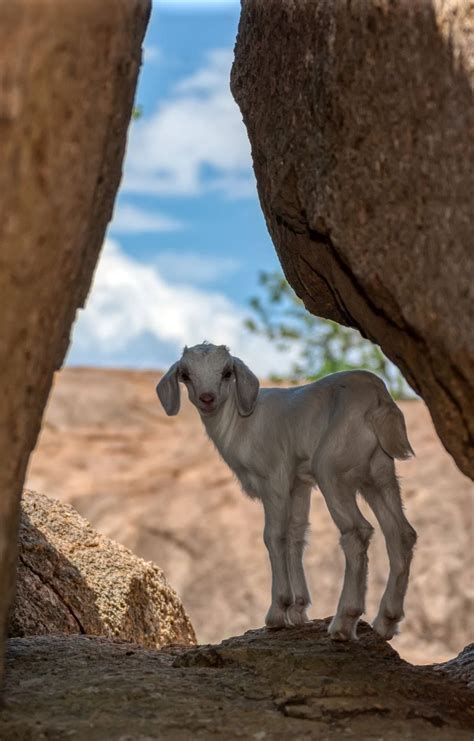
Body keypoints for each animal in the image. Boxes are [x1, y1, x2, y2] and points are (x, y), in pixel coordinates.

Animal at [157, 342, 417, 641]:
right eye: (185, 374)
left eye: (226, 372)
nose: (207, 398)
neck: (242, 422)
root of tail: (378, 400)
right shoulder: (299, 483)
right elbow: (296, 534)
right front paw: (299, 610)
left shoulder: (275, 478)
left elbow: (274, 536)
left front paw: (278, 612)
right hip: (379, 472)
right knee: (400, 532)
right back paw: (386, 622)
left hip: (332, 467)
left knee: (357, 531)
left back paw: (343, 622)